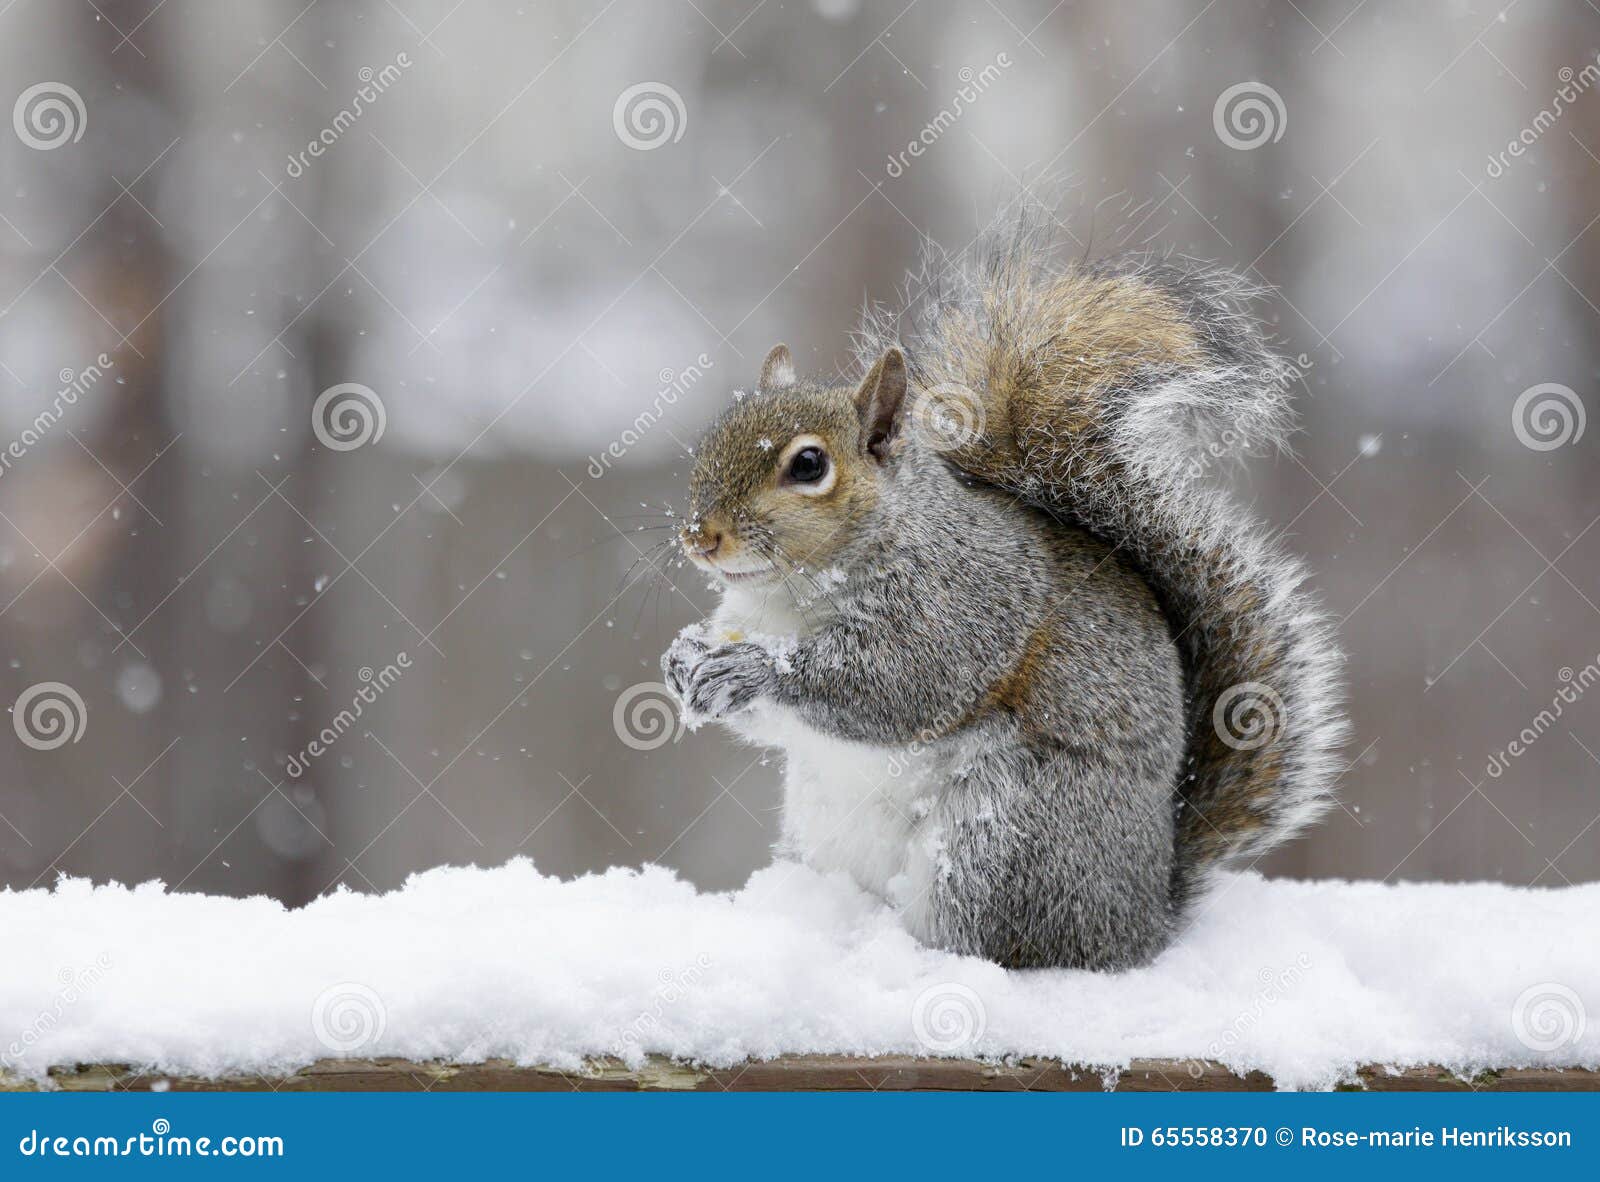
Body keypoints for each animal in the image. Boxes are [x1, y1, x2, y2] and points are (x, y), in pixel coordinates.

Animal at [661, 204, 1347, 971]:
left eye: (809, 465)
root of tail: (1142, 918)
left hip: (1006, 836)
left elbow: (896, 686)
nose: (700, 537)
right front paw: (684, 659)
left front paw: (755, 669)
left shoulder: (960, 603)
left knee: (999, 942)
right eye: (713, 438)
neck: (789, 595)